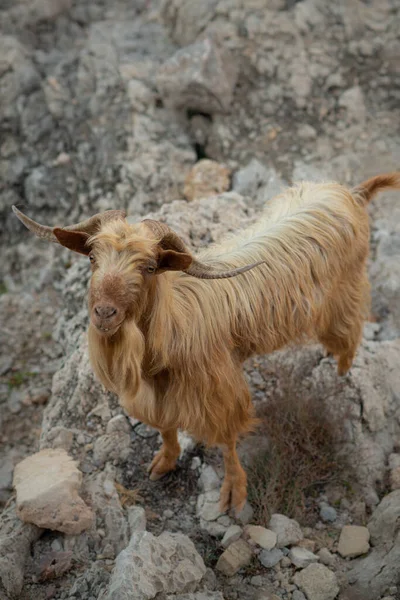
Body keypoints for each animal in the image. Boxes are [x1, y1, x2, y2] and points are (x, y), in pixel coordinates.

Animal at [11, 171, 400, 512]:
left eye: (149, 267)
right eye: (92, 257)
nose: (105, 313)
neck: (171, 330)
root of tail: (352, 193)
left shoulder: (219, 390)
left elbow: (227, 439)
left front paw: (234, 493)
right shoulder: (159, 394)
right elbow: (166, 426)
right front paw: (164, 462)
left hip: (344, 296)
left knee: (350, 336)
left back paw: (339, 374)